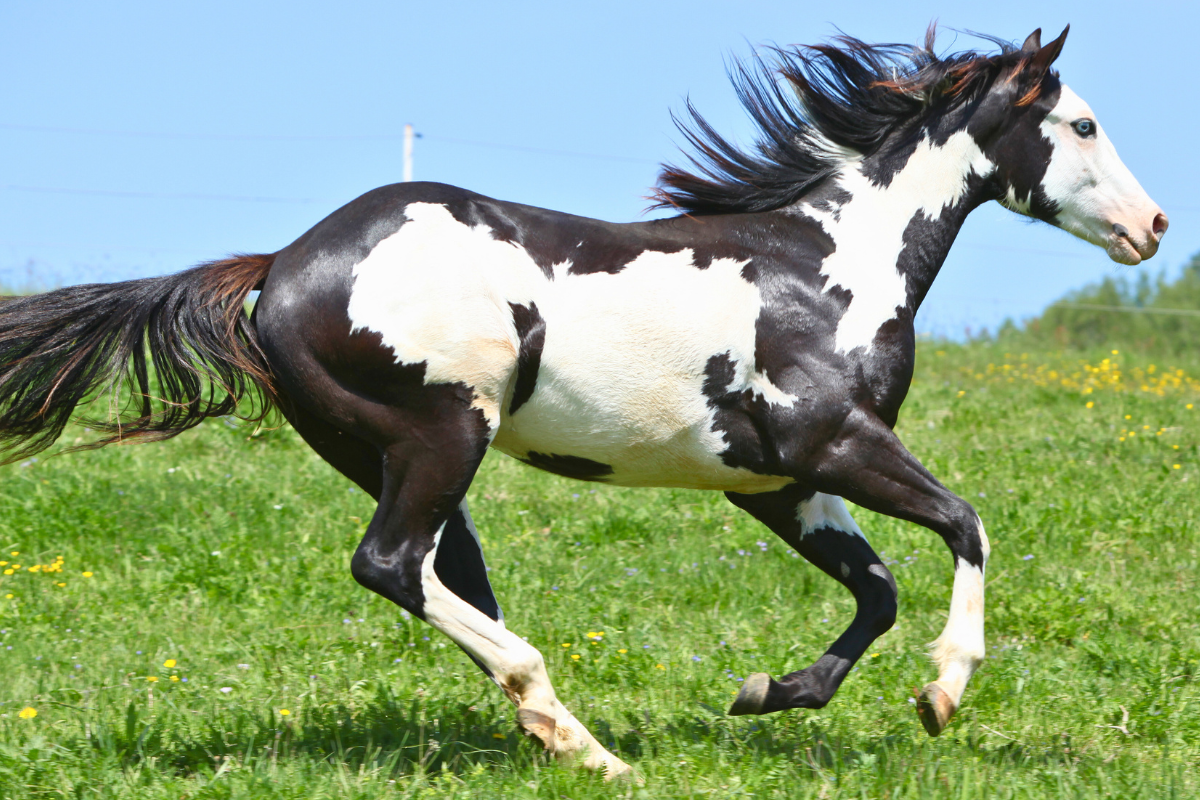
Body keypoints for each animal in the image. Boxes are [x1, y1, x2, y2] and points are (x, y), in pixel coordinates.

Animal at [0, 25, 1166, 778]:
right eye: (1082, 124)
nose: (1153, 226)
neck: (830, 265)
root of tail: (281, 265)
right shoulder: (833, 441)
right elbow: (966, 525)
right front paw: (943, 690)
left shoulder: (774, 479)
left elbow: (875, 589)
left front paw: (768, 692)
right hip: (443, 435)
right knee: (391, 565)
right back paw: (581, 739)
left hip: (403, 458)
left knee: (439, 579)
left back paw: (571, 736)